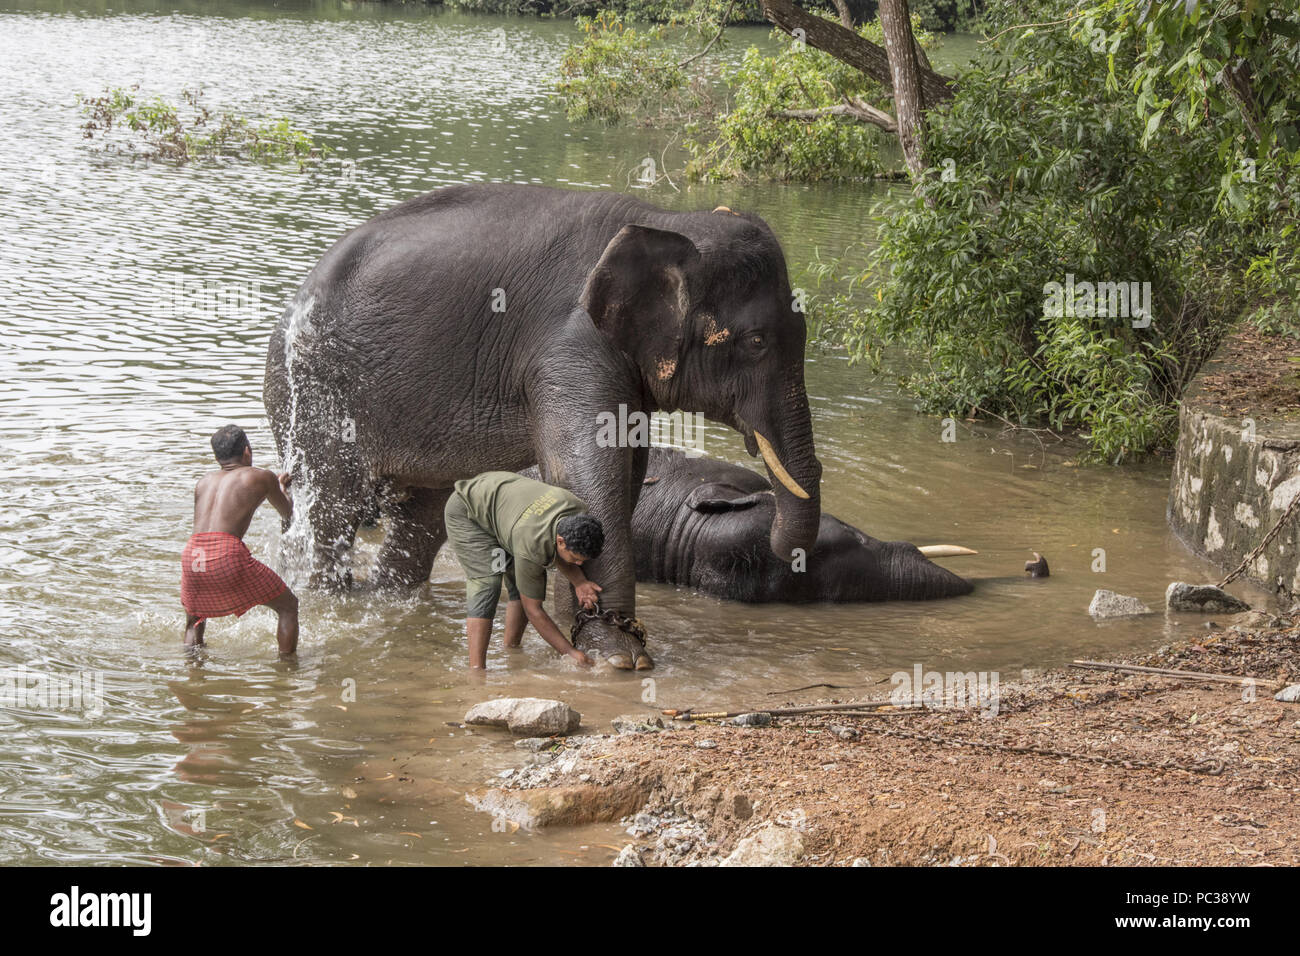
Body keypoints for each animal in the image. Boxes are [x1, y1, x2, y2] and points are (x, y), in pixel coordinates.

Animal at [263, 183, 823, 670]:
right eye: (756, 342)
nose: (777, 539)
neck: (668, 220)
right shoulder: (569, 343)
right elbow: (586, 473)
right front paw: (619, 659)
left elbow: (626, 469)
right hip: (311, 390)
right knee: (334, 504)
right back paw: (332, 601)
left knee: (420, 515)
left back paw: (388, 598)